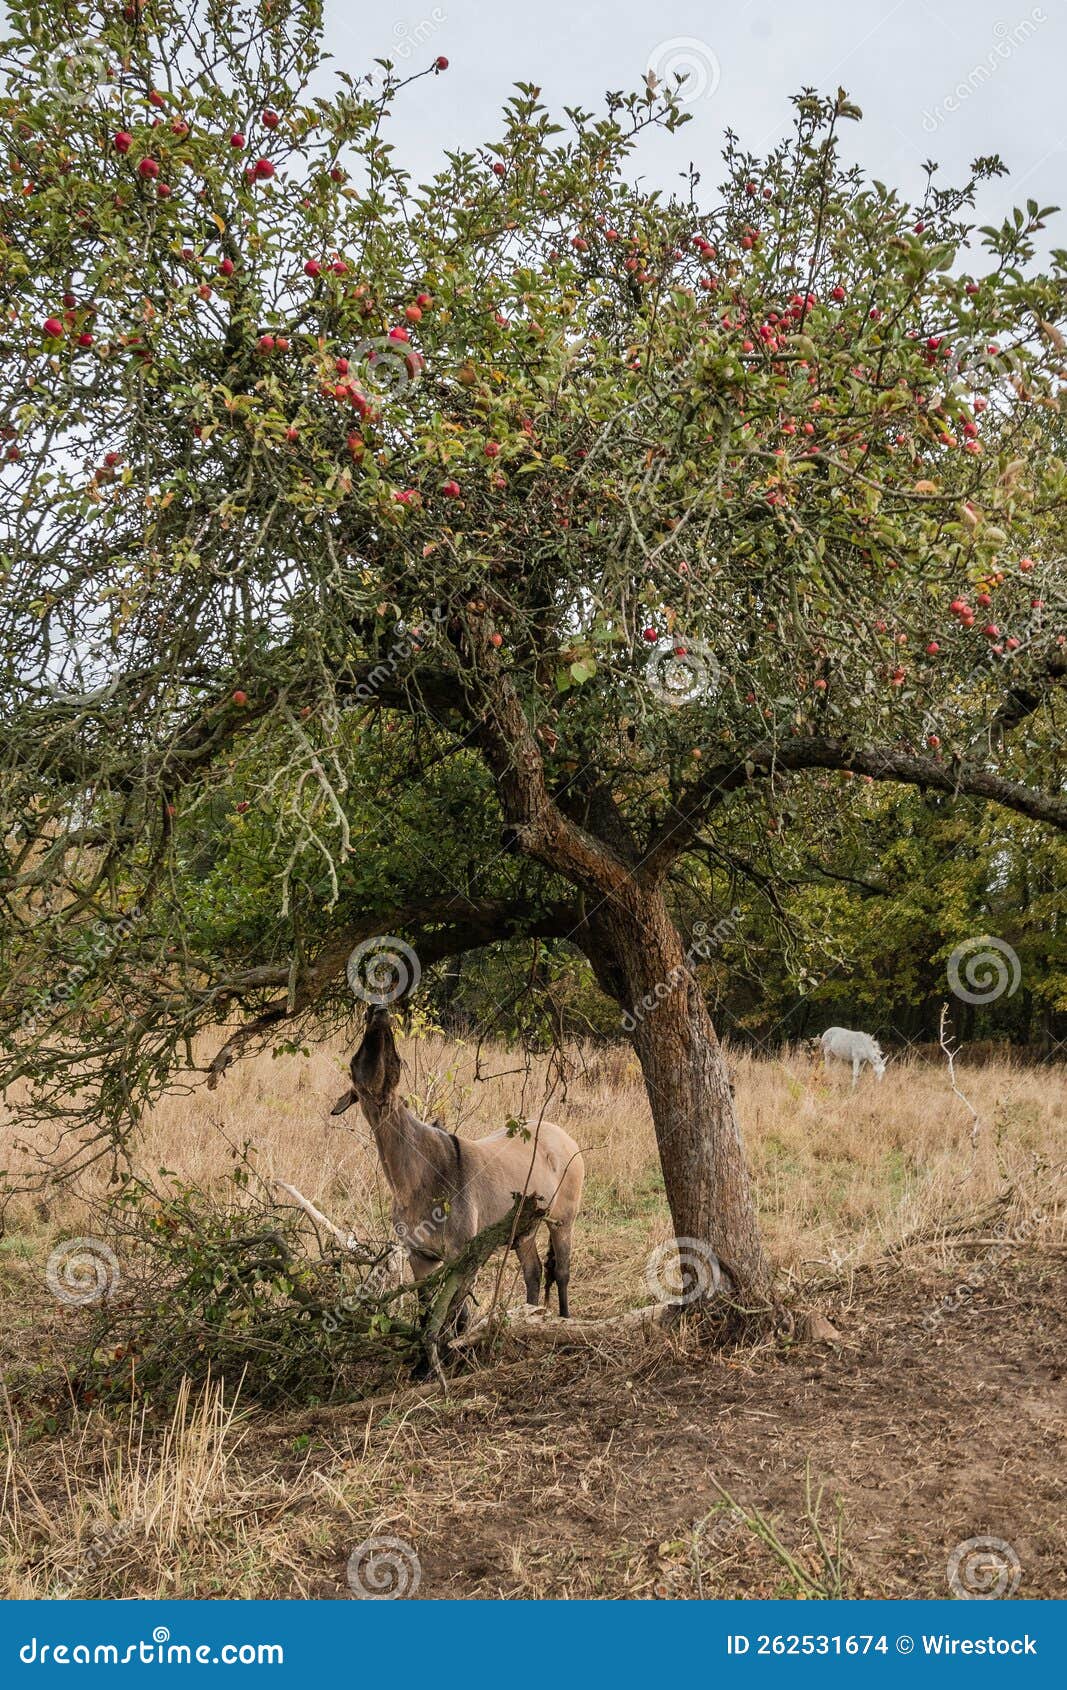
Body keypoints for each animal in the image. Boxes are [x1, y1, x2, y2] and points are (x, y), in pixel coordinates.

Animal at [331, 1007, 584, 1315]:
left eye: (394, 1054)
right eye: (356, 1058)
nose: (377, 1011)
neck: (419, 1179)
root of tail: (562, 1135)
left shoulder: (460, 1259)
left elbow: (456, 1314)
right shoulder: (421, 1257)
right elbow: (428, 1312)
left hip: (562, 1221)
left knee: (561, 1273)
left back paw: (563, 1317)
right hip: (525, 1229)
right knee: (533, 1273)